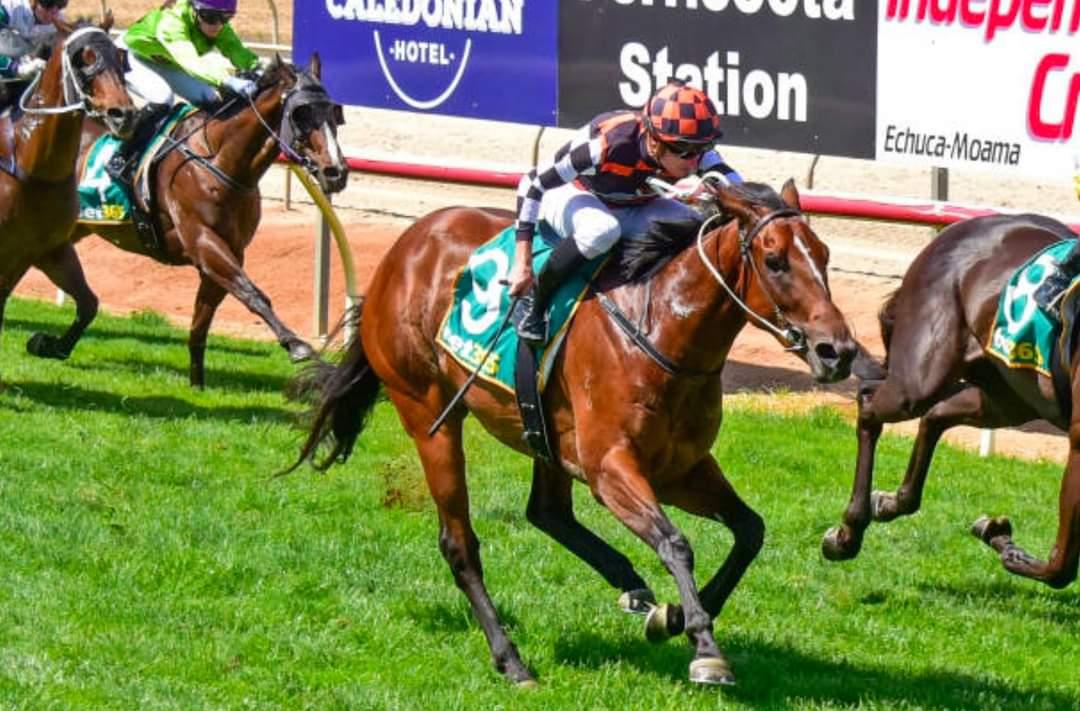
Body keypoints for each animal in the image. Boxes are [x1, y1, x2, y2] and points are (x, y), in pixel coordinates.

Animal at [0, 16, 134, 373]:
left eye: (120, 57)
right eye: (82, 59)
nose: (122, 114)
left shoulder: (47, 249)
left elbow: (89, 304)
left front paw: (48, 344)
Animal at [24, 54, 349, 387]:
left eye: (335, 114)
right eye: (302, 115)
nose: (336, 171)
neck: (219, 160)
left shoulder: (228, 253)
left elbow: (200, 324)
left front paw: (197, 384)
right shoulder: (204, 242)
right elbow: (252, 293)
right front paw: (296, 345)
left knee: (78, 294)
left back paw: (52, 345)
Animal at [287, 179, 858, 686]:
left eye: (825, 254)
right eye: (775, 260)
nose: (840, 351)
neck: (659, 330)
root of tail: (405, 247)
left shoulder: (682, 468)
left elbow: (749, 530)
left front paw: (675, 616)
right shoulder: (611, 468)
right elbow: (676, 543)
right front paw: (704, 647)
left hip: (543, 432)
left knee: (547, 512)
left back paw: (630, 585)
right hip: (429, 416)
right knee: (459, 544)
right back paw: (512, 661)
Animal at [821, 213, 1080, 589]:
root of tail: (962, 226)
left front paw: (996, 532)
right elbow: (1060, 569)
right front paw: (1002, 539)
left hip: (1008, 394)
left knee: (936, 414)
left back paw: (891, 503)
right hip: (919, 379)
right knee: (872, 404)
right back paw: (847, 534)